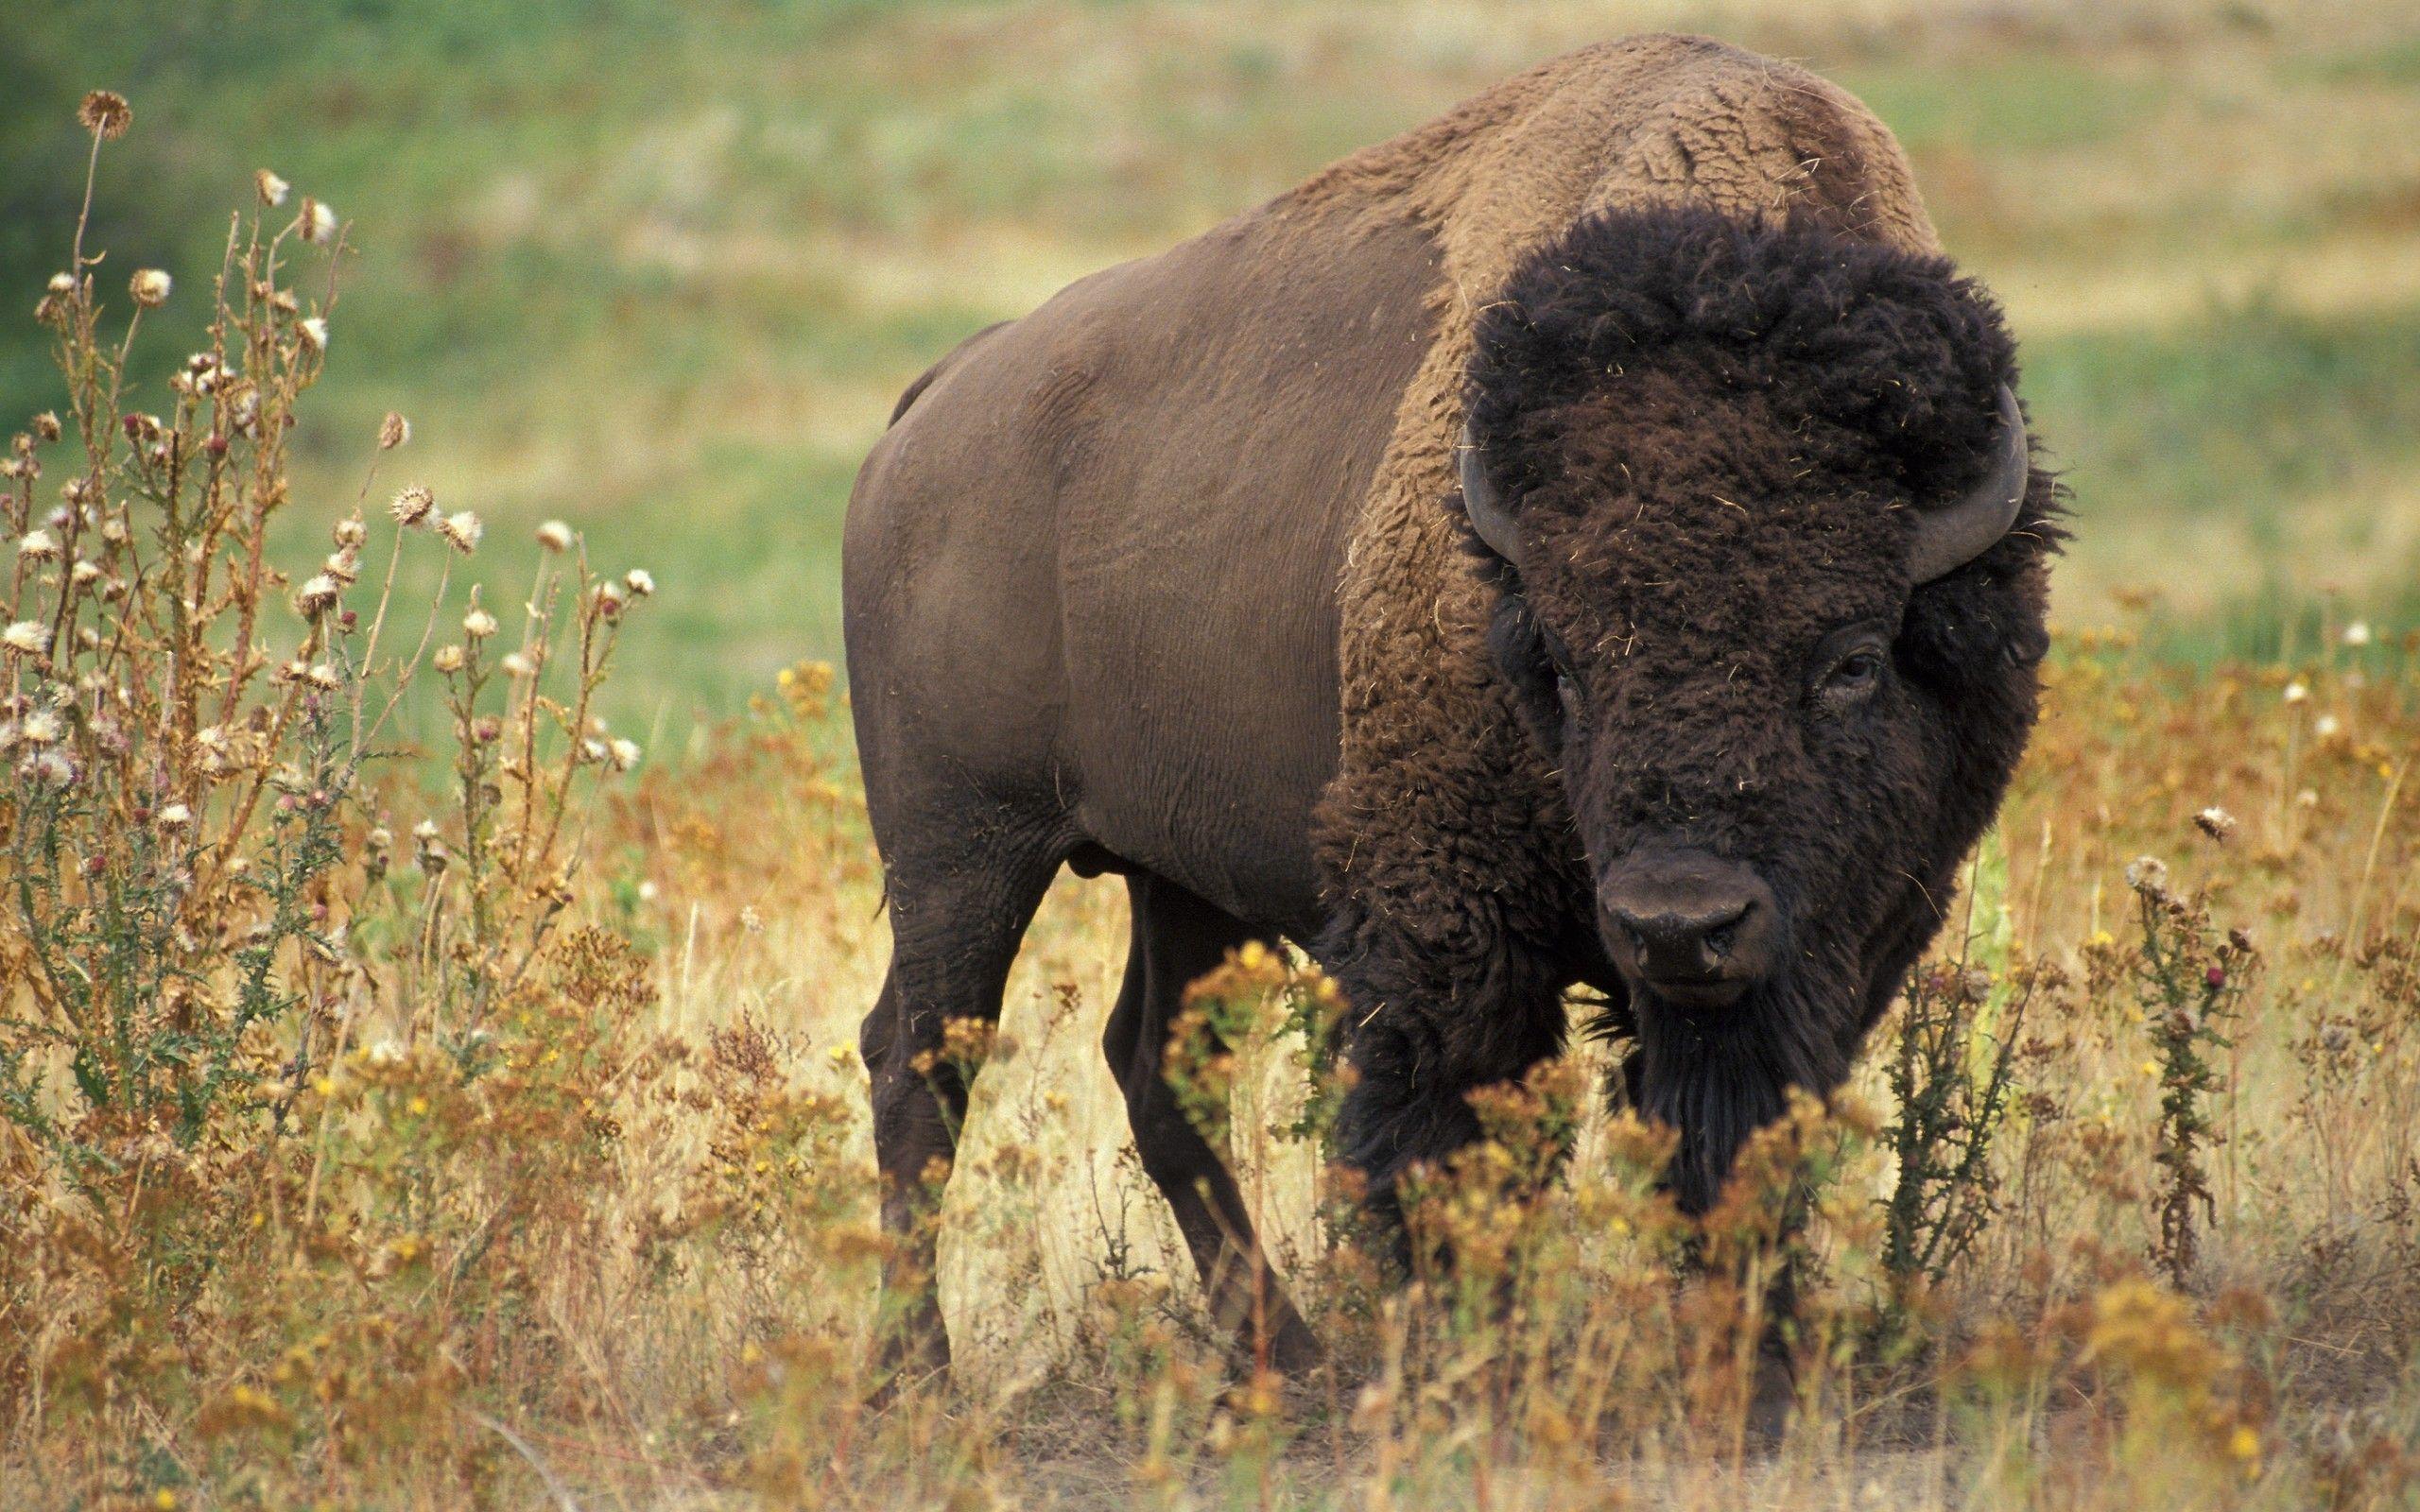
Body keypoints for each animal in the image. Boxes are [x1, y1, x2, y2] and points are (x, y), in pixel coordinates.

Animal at [843, 33, 2058, 1376]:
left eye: (1850, 658)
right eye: (1562, 663)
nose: (1678, 922)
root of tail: (937, 402)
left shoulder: (1841, 941)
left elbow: (1737, 1141)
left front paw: (1753, 1354)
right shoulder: (1449, 927)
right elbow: (1449, 1144)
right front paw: (1472, 1356)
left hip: (1176, 871)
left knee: (1152, 1065)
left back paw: (1285, 1358)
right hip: (962, 848)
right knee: (920, 1062)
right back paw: (919, 1373)